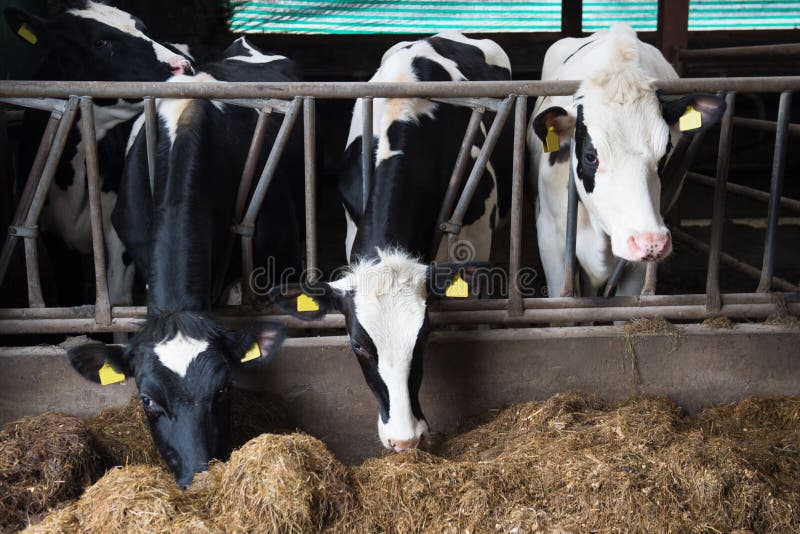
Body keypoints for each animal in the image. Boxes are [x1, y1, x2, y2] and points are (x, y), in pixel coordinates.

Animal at [4, 0, 193, 307]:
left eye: (143, 29)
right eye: (101, 42)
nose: (184, 66)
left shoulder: (121, 229)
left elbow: (116, 298)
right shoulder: (51, 233)